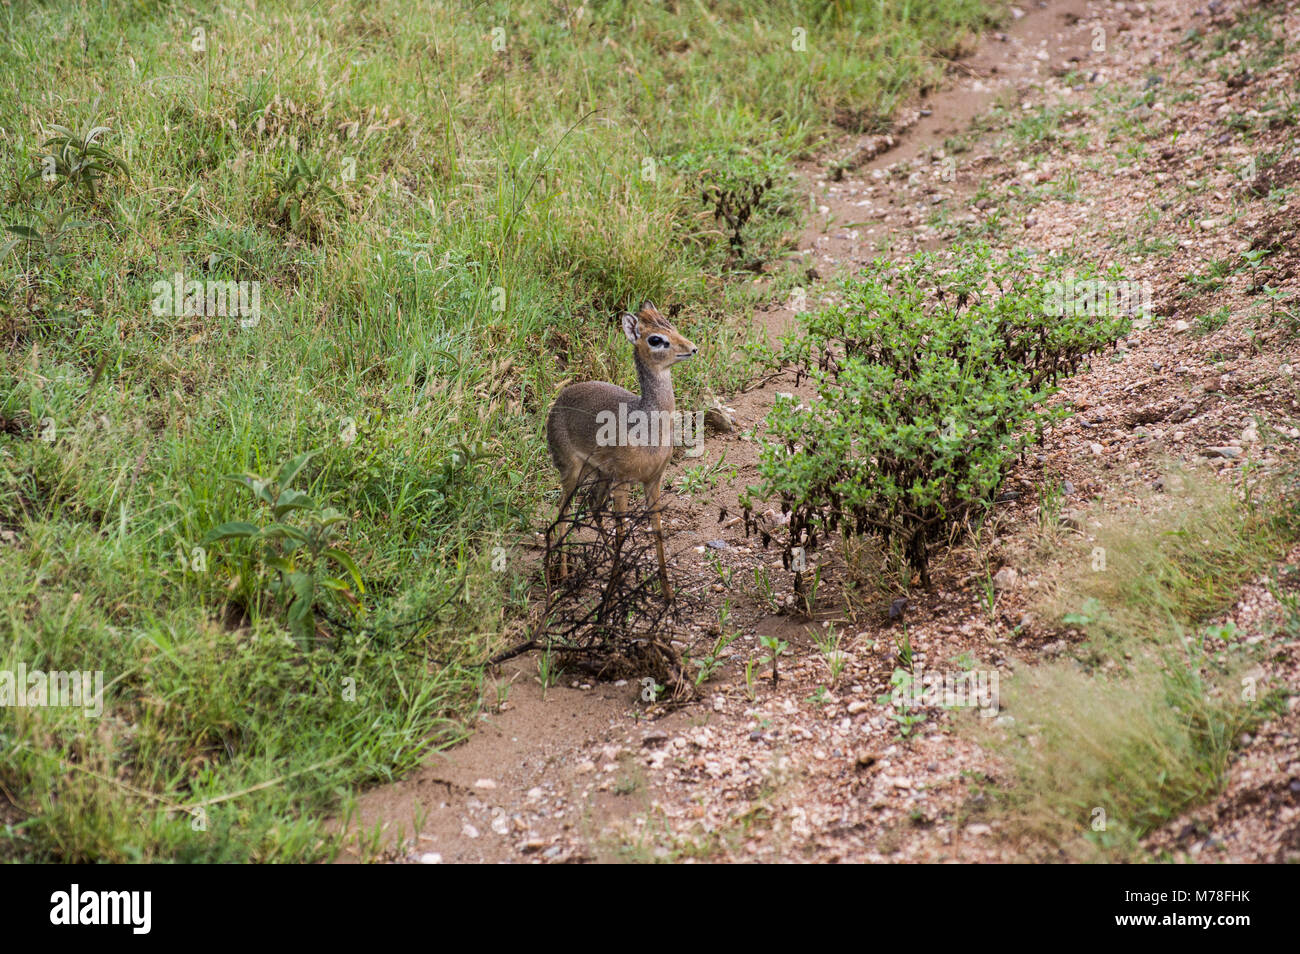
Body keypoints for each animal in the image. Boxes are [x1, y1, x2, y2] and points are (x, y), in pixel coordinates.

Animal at [545, 301, 697, 601]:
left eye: (672, 325)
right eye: (655, 339)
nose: (692, 347)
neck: (648, 425)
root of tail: (557, 403)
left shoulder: (653, 480)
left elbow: (657, 529)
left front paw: (668, 594)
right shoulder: (623, 482)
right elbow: (621, 531)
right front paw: (612, 595)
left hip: (599, 474)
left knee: (592, 506)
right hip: (572, 472)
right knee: (562, 514)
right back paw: (564, 578)